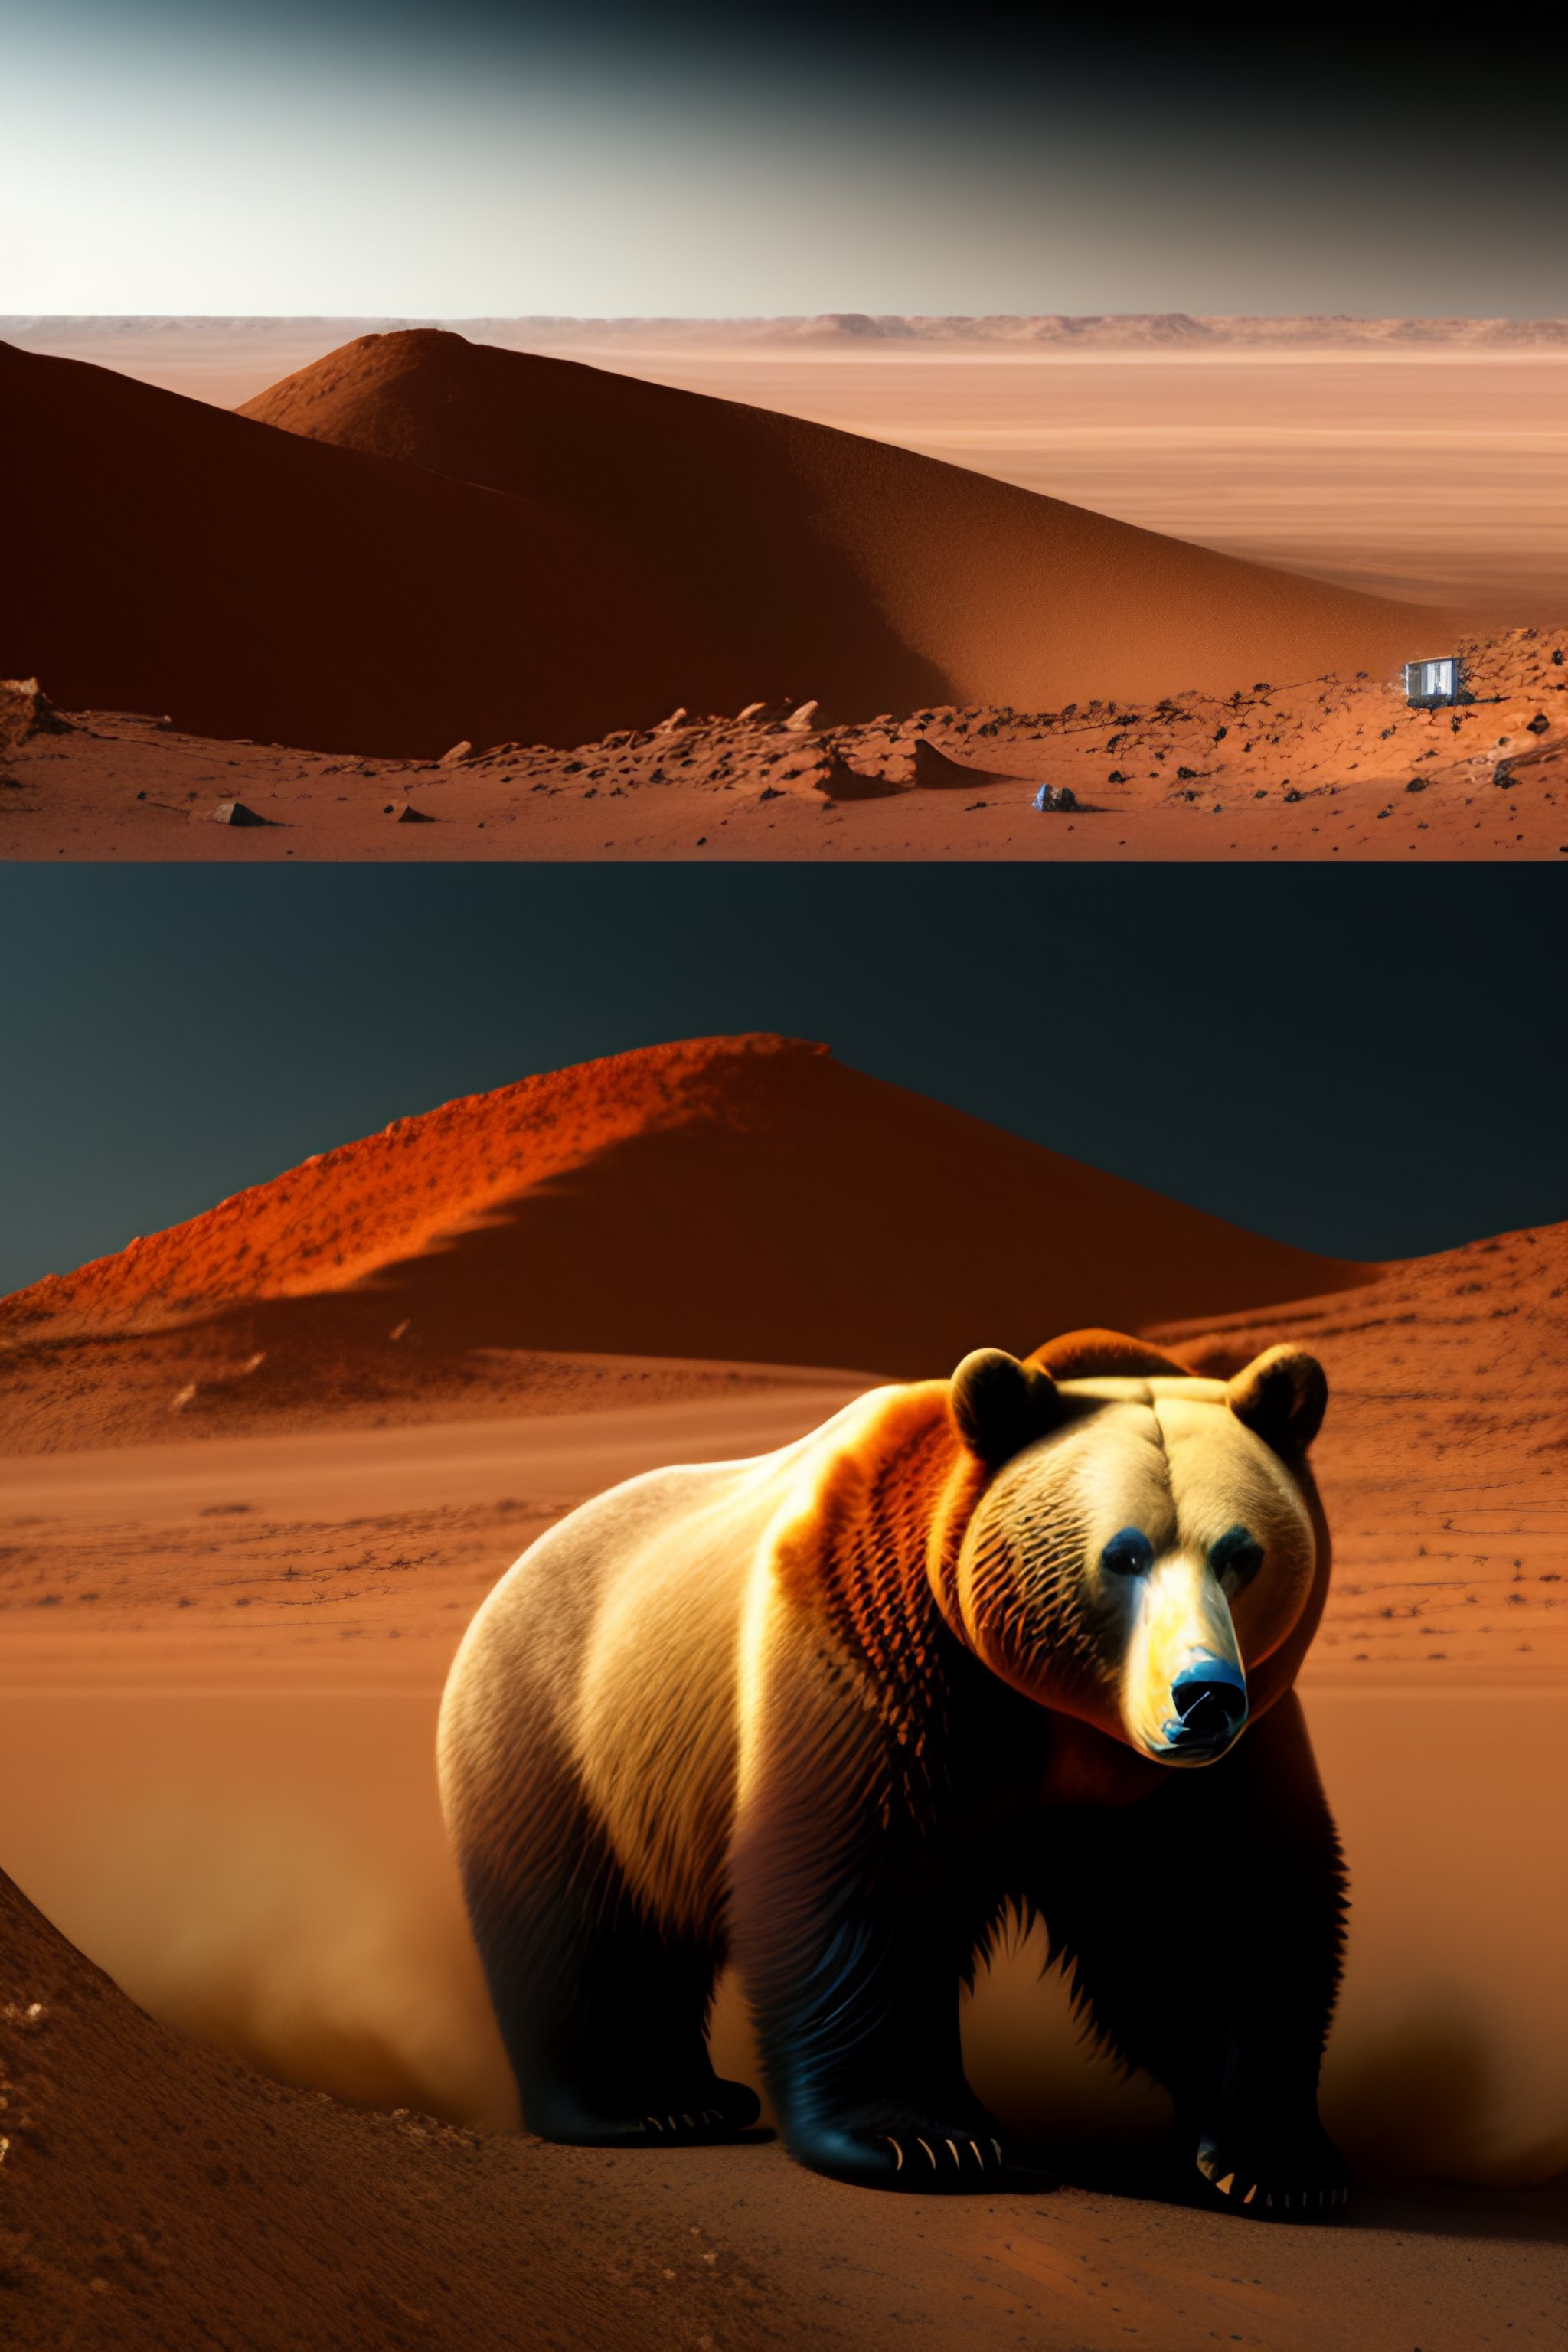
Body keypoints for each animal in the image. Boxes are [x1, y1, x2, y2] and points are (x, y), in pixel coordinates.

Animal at [437, 1328, 1349, 2216]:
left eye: (1240, 1554)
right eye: (1122, 1556)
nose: (1203, 1697)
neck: (1063, 1716)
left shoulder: (1208, 1760)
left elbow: (1228, 1907)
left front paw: (1273, 2160)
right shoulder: (874, 1649)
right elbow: (858, 1873)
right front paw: (921, 2139)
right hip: (567, 1736)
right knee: (581, 1925)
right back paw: (652, 2105)